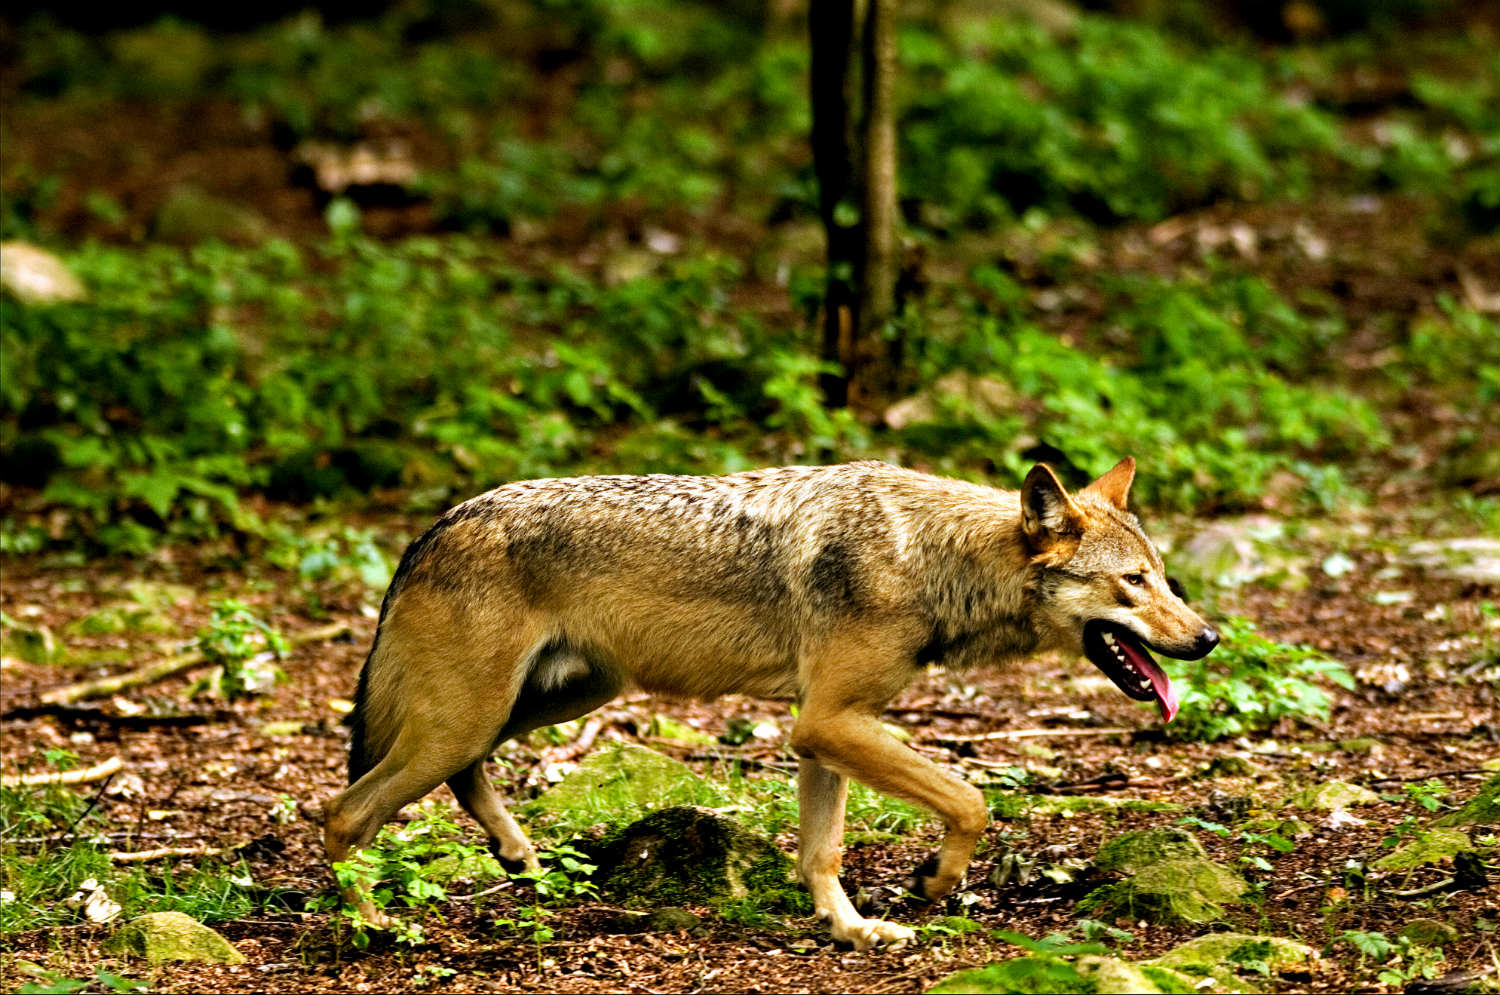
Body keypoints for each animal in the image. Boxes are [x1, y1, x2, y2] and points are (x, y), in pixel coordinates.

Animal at [324, 457, 1218, 948]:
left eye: (1165, 578)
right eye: (1133, 582)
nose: (1209, 637)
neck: (933, 559)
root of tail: (438, 522)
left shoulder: (822, 733)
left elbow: (822, 852)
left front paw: (852, 929)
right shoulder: (827, 720)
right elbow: (970, 799)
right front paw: (933, 881)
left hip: (555, 699)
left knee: (455, 776)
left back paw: (518, 856)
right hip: (471, 715)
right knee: (343, 812)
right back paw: (370, 923)